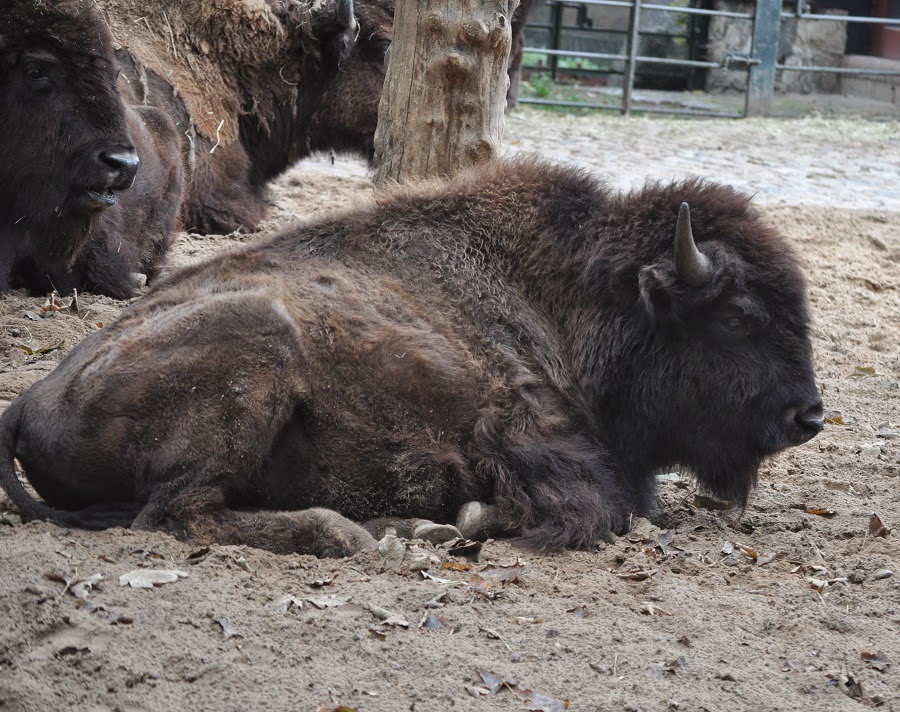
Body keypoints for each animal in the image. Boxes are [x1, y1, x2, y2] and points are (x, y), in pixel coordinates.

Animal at [0, 159, 824, 557]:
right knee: (176, 515)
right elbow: (601, 506)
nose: (808, 416)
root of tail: (26, 401)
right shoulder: (528, 437)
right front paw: (468, 519)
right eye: (739, 317)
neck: (570, 299)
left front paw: (448, 523)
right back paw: (353, 535)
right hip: (256, 347)